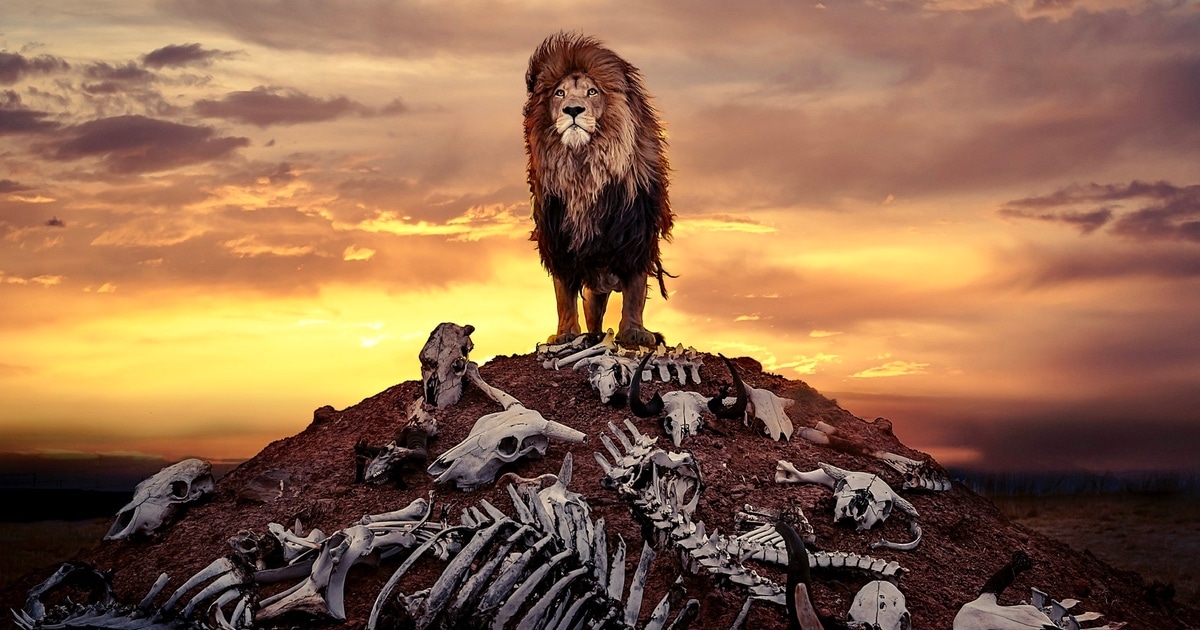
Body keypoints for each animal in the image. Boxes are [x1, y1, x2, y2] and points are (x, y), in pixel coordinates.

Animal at [524, 31, 674, 348]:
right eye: (560, 94)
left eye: (592, 92)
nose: (573, 110)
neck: (584, 165)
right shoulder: (559, 238)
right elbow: (564, 294)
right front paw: (565, 334)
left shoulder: (635, 234)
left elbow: (635, 291)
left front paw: (634, 333)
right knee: (592, 308)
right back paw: (593, 335)